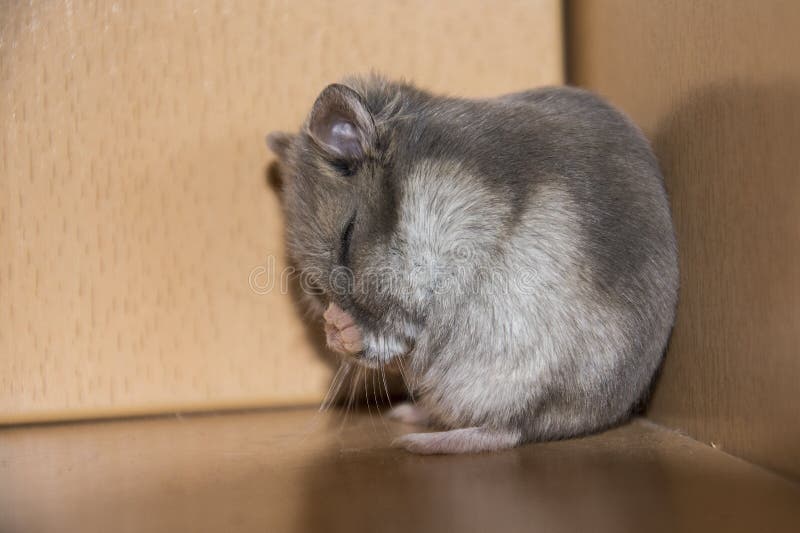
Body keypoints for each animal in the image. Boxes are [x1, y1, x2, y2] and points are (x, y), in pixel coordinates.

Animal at [267, 74, 678, 454]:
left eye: (348, 237)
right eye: (315, 289)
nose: (333, 320)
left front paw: (342, 329)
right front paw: (334, 328)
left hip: (519, 375)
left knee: (506, 429)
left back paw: (415, 442)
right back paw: (407, 415)